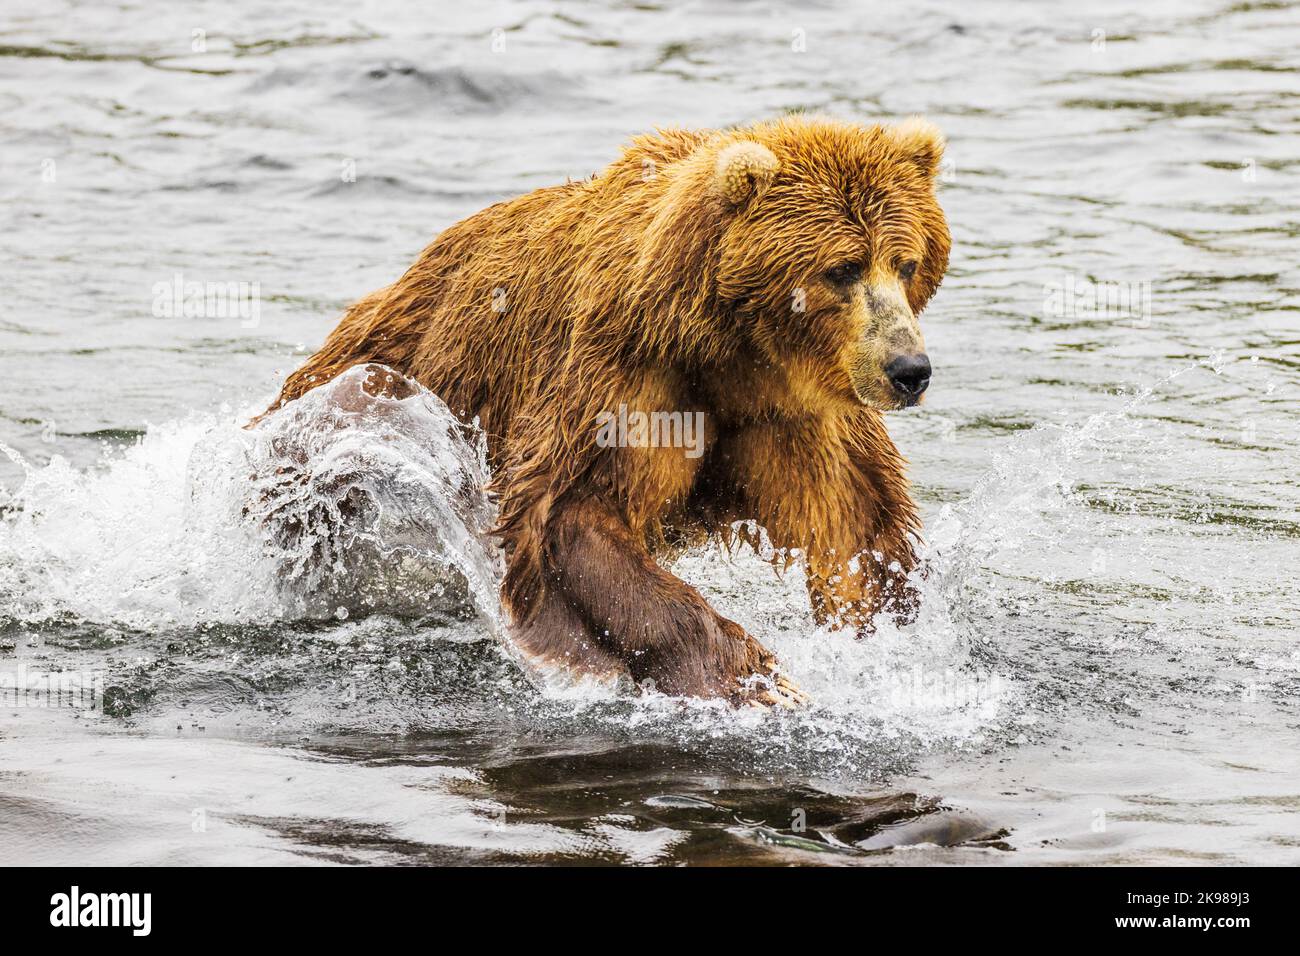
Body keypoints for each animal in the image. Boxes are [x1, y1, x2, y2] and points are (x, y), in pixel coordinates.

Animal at [258, 114, 951, 707]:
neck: (728, 344)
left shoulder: (793, 413)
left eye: (906, 261)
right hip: (363, 399)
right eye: (843, 268)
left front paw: (881, 636)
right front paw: (757, 680)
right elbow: (575, 511)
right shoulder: (624, 373)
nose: (909, 370)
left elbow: (854, 524)